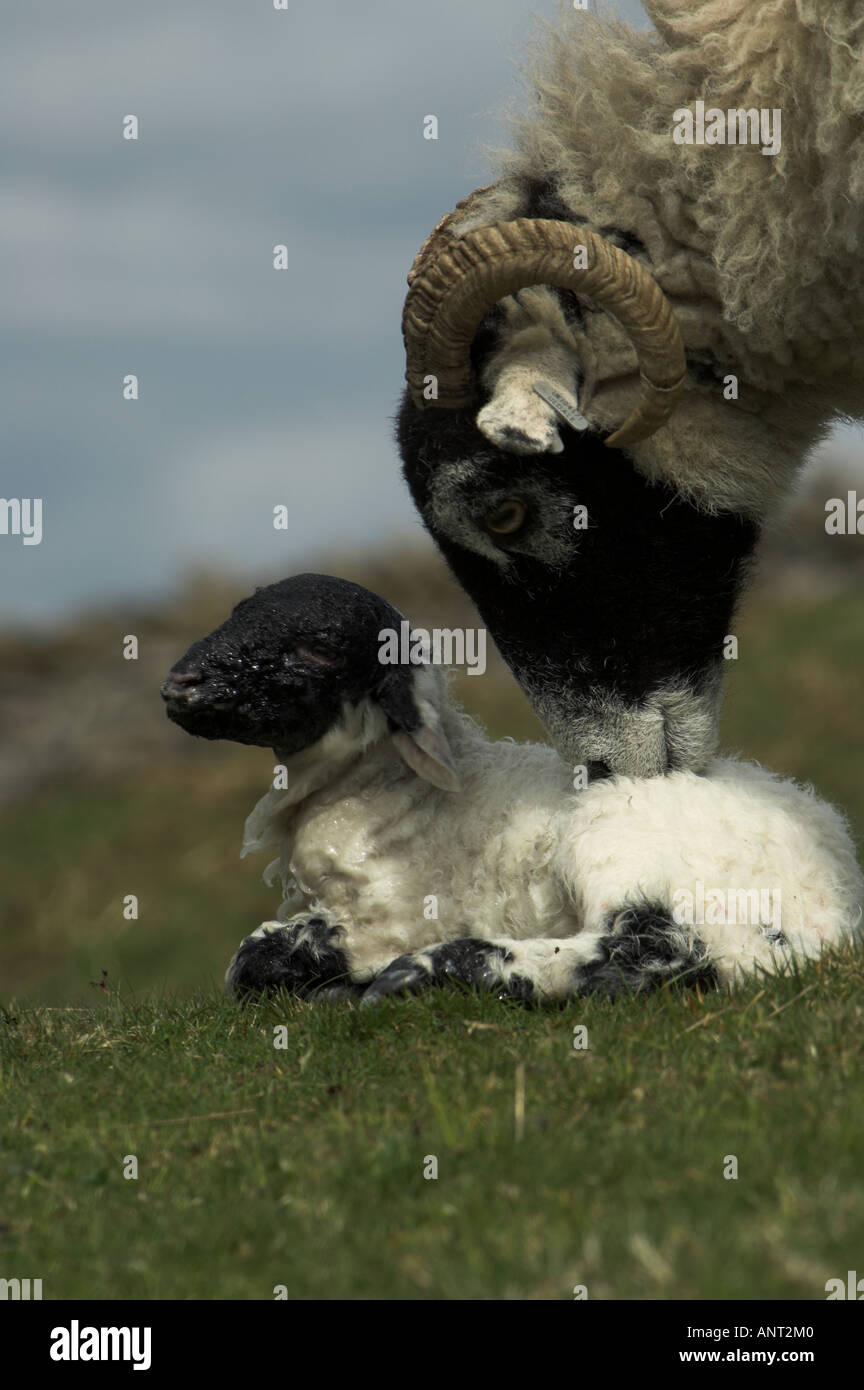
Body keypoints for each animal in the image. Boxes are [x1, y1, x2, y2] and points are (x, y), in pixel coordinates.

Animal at [160, 574, 862, 1004]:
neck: (389, 795)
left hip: (627, 850)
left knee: (651, 952)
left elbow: (251, 958)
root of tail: (831, 912)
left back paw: (433, 972)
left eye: (319, 650)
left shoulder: (382, 922)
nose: (180, 685)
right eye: (237, 612)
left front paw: (344, 981)